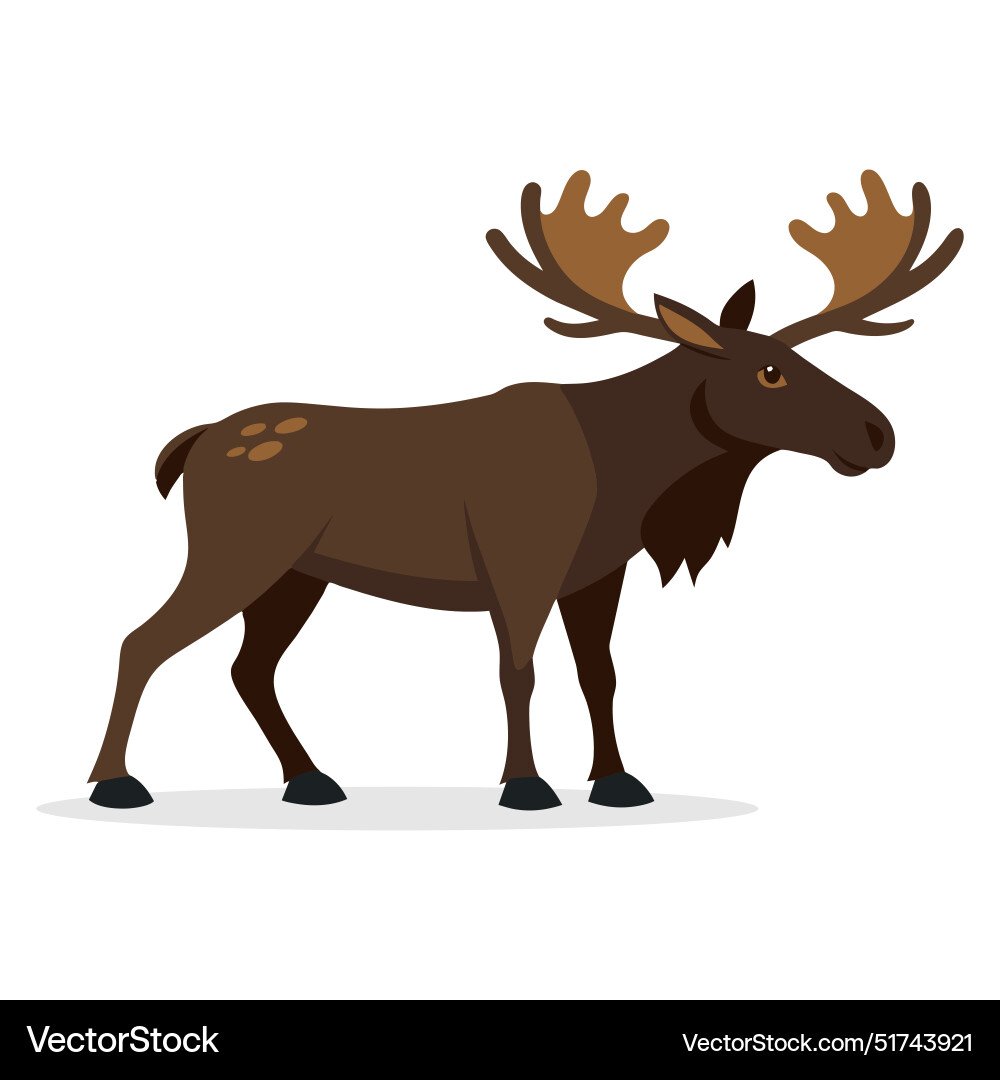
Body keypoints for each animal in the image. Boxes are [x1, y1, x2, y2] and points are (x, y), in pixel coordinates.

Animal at [88, 169, 962, 812]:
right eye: (771, 370)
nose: (878, 434)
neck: (631, 480)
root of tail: (192, 444)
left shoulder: (597, 572)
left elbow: (600, 672)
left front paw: (618, 780)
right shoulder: (519, 559)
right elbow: (519, 669)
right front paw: (526, 783)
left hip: (298, 574)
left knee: (250, 668)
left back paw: (309, 778)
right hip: (240, 552)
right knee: (142, 640)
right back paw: (116, 782)